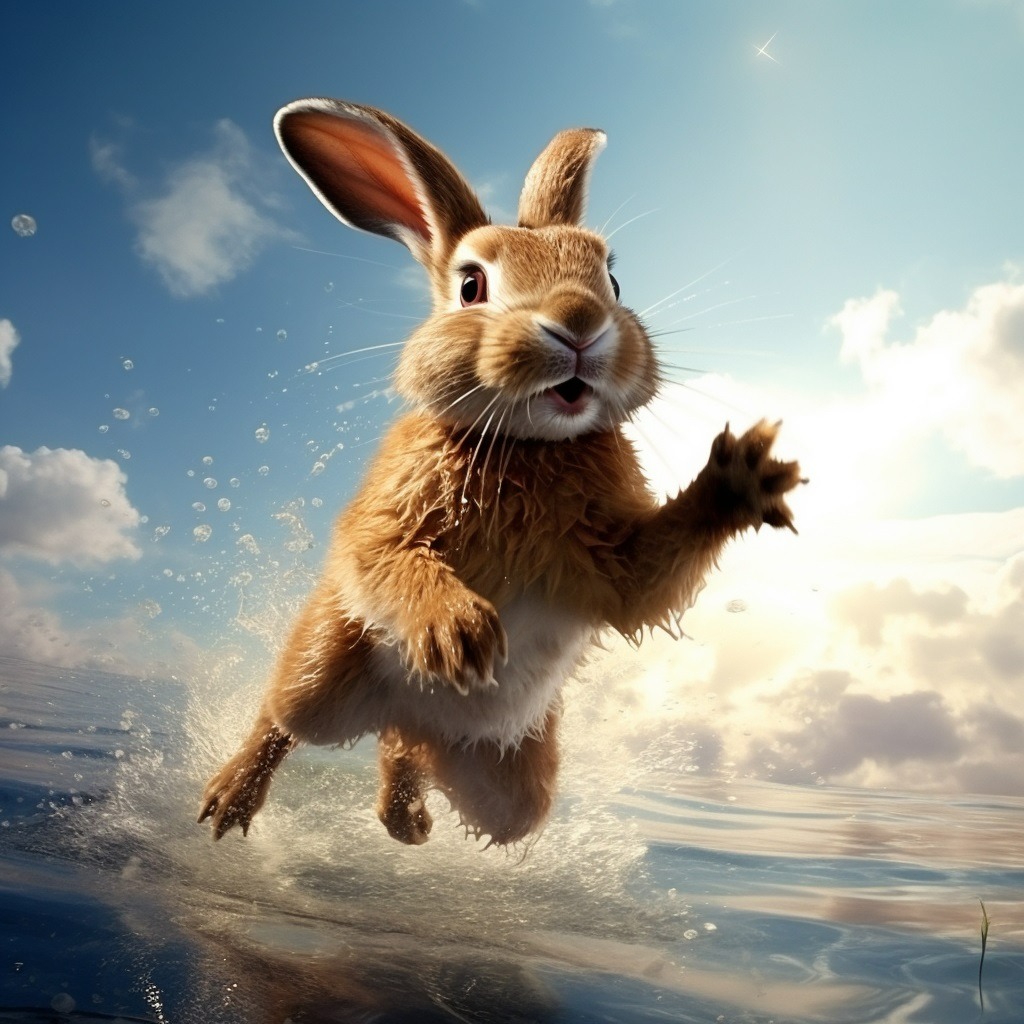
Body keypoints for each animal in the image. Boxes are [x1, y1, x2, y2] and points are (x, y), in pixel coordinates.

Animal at [198, 98, 803, 848]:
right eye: (471, 285)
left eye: (613, 281)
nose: (579, 322)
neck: (529, 446)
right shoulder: (386, 525)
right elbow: (393, 561)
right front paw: (459, 634)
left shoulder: (615, 563)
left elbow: (650, 581)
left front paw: (745, 476)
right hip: (323, 674)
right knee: (282, 720)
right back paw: (231, 800)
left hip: (512, 789)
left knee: (412, 754)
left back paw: (409, 821)